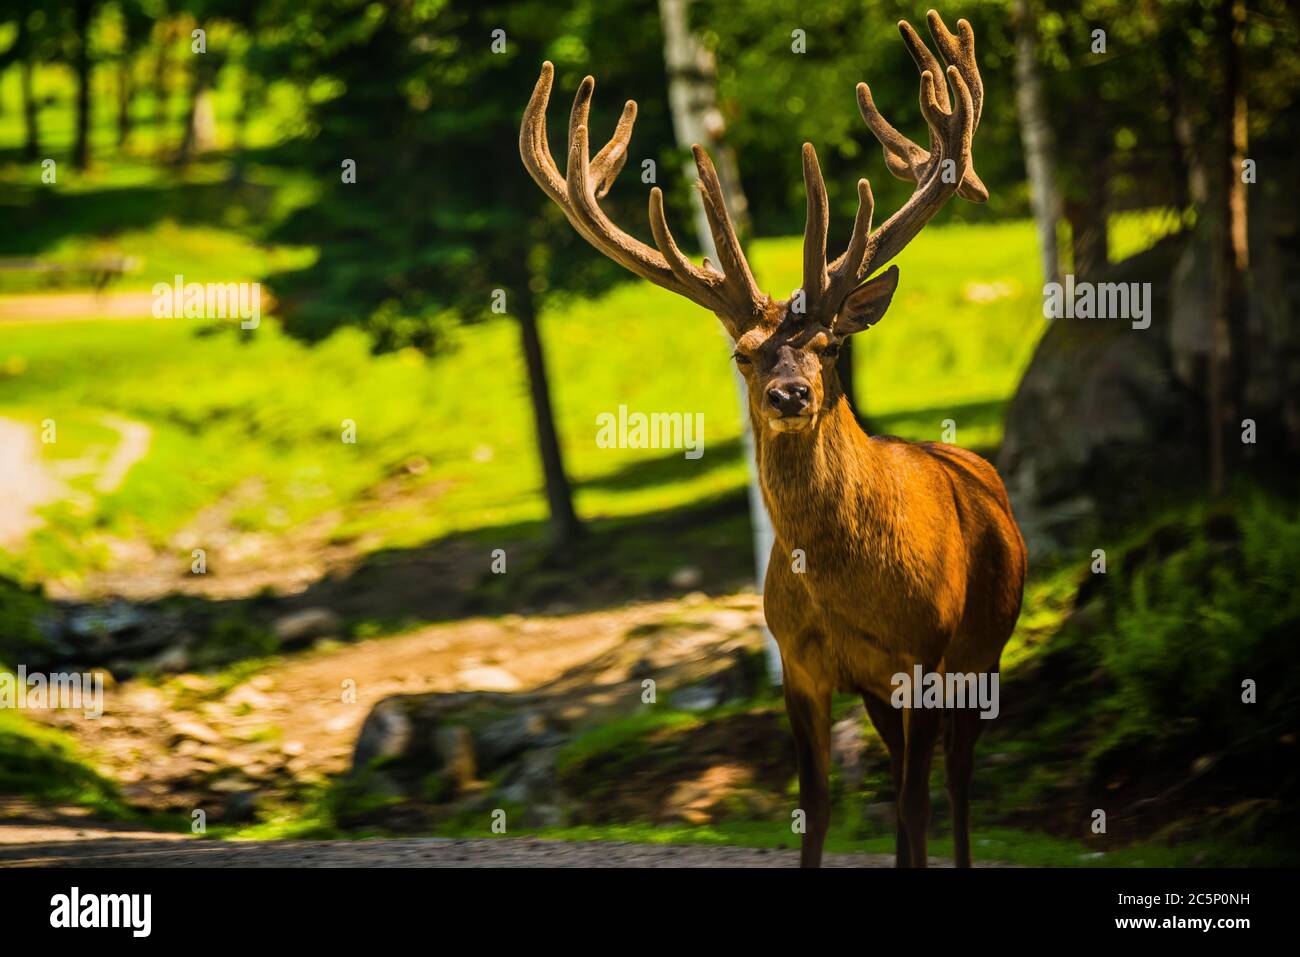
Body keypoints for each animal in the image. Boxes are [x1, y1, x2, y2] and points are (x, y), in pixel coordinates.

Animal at [520, 9, 1027, 868]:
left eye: (829, 344)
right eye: (744, 353)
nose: (791, 393)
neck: (842, 585)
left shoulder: (923, 652)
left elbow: (914, 803)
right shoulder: (802, 664)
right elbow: (817, 805)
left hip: (981, 652)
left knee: (956, 785)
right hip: (888, 688)